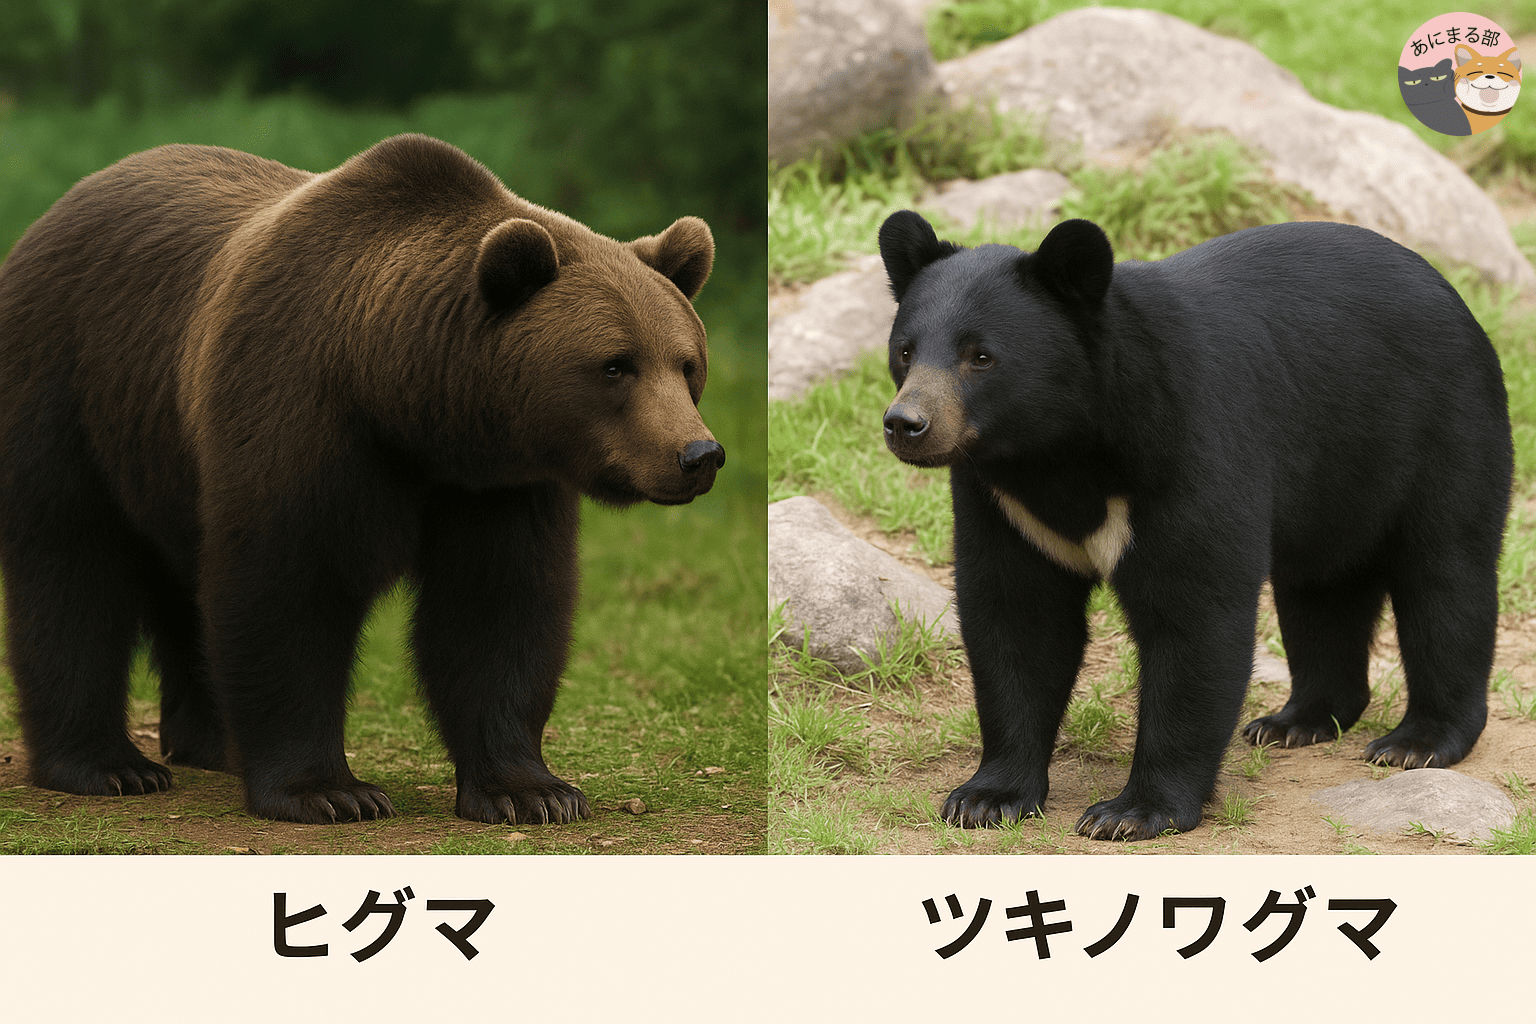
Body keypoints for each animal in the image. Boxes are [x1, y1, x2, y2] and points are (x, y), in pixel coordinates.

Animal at [0, 134, 725, 825]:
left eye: (686, 362)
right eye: (615, 365)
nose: (698, 454)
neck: (402, 398)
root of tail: (54, 212)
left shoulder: (497, 484)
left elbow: (498, 605)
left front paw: (532, 791)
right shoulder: (298, 413)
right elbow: (288, 589)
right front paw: (328, 793)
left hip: (163, 455)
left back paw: (210, 741)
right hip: (71, 389)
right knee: (70, 569)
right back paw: (108, 765)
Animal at [877, 210, 1513, 841]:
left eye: (981, 356)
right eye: (905, 351)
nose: (906, 423)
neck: (1057, 449)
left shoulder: (1189, 444)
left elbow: (1195, 617)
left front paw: (1131, 812)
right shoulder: (1003, 502)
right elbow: (1016, 618)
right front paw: (986, 797)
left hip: (1444, 427)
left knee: (1446, 579)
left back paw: (1417, 742)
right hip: (1338, 484)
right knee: (1321, 590)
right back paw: (1295, 720)